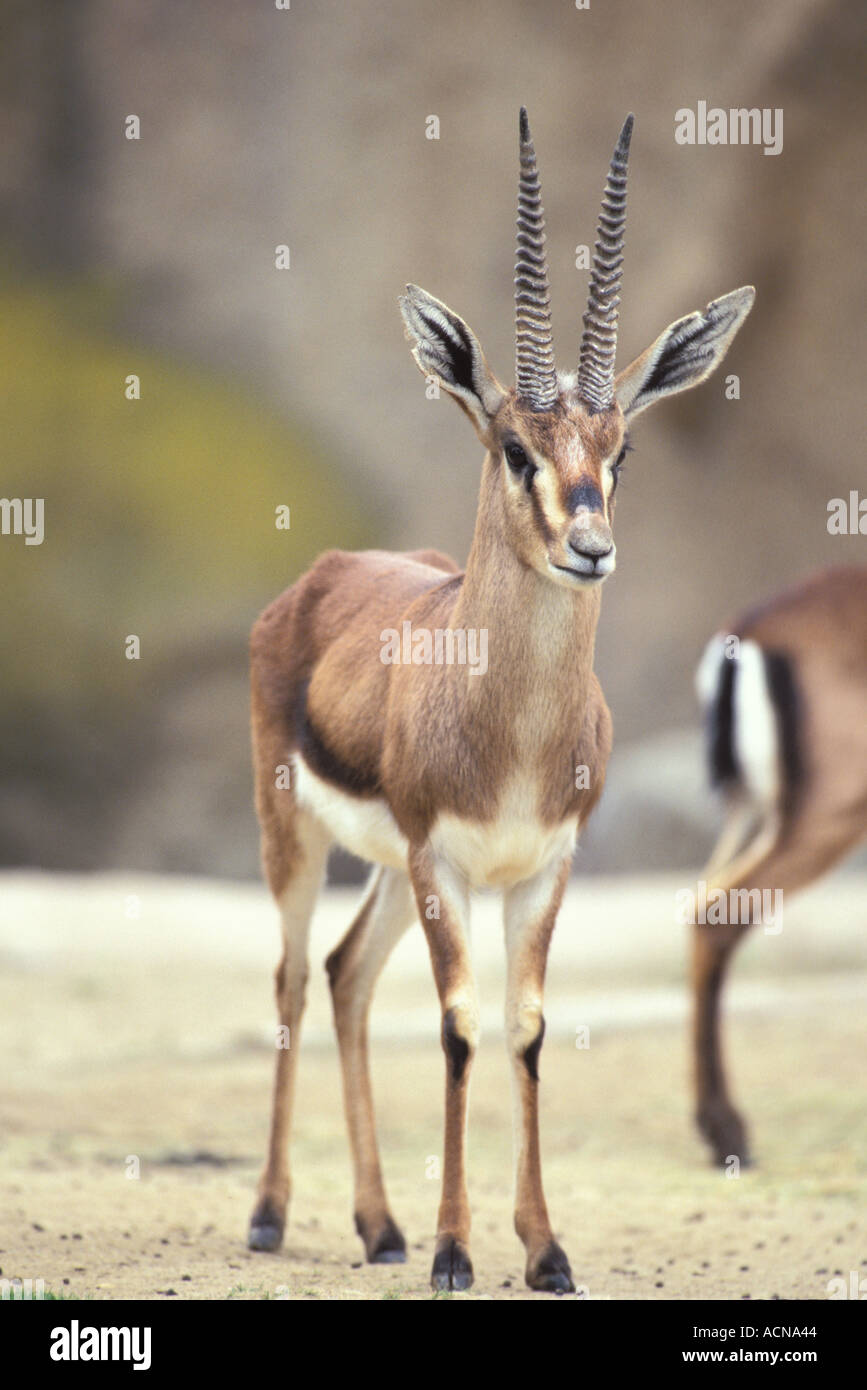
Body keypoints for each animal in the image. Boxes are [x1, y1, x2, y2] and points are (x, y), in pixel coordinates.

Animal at [246, 107, 754, 1292]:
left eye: (621, 452)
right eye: (516, 446)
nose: (591, 547)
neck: (513, 731)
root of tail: (321, 576)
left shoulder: (539, 866)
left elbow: (522, 1028)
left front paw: (544, 1247)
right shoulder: (445, 862)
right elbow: (457, 1027)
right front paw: (453, 1251)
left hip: (391, 871)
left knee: (344, 975)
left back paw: (377, 1227)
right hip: (302, 840)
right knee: (292, 979)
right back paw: (274, 1216)